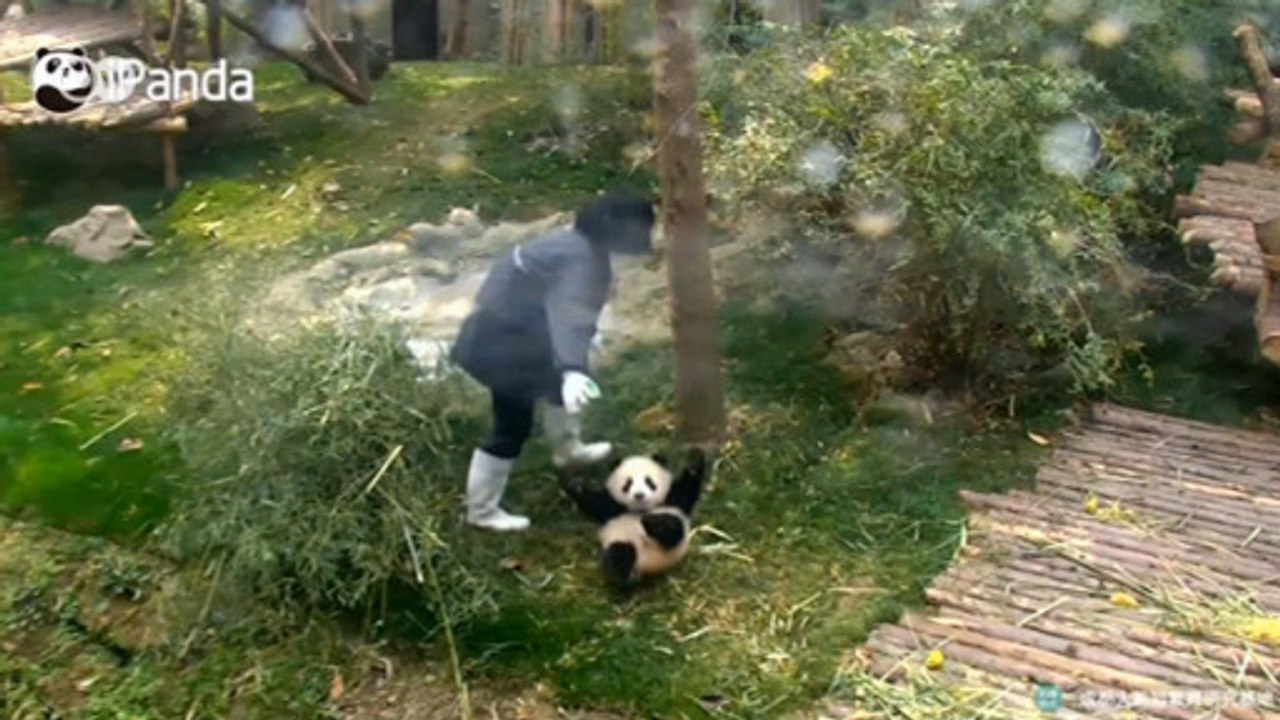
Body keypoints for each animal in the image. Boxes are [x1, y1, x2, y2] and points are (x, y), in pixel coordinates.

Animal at [558, 447, 709, 590]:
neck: (640, 510)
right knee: (619, 554)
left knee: (672, 529)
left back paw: (654, 524)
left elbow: (685, 491)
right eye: (628, 483)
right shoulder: (614, 507)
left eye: (649, 481)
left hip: (674, 543)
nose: (639, 495)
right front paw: (574, 485)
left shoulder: (670, 500)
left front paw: (694, 461)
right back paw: (625, 579)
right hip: (625, 542)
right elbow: (596, 503)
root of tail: (648, 565)